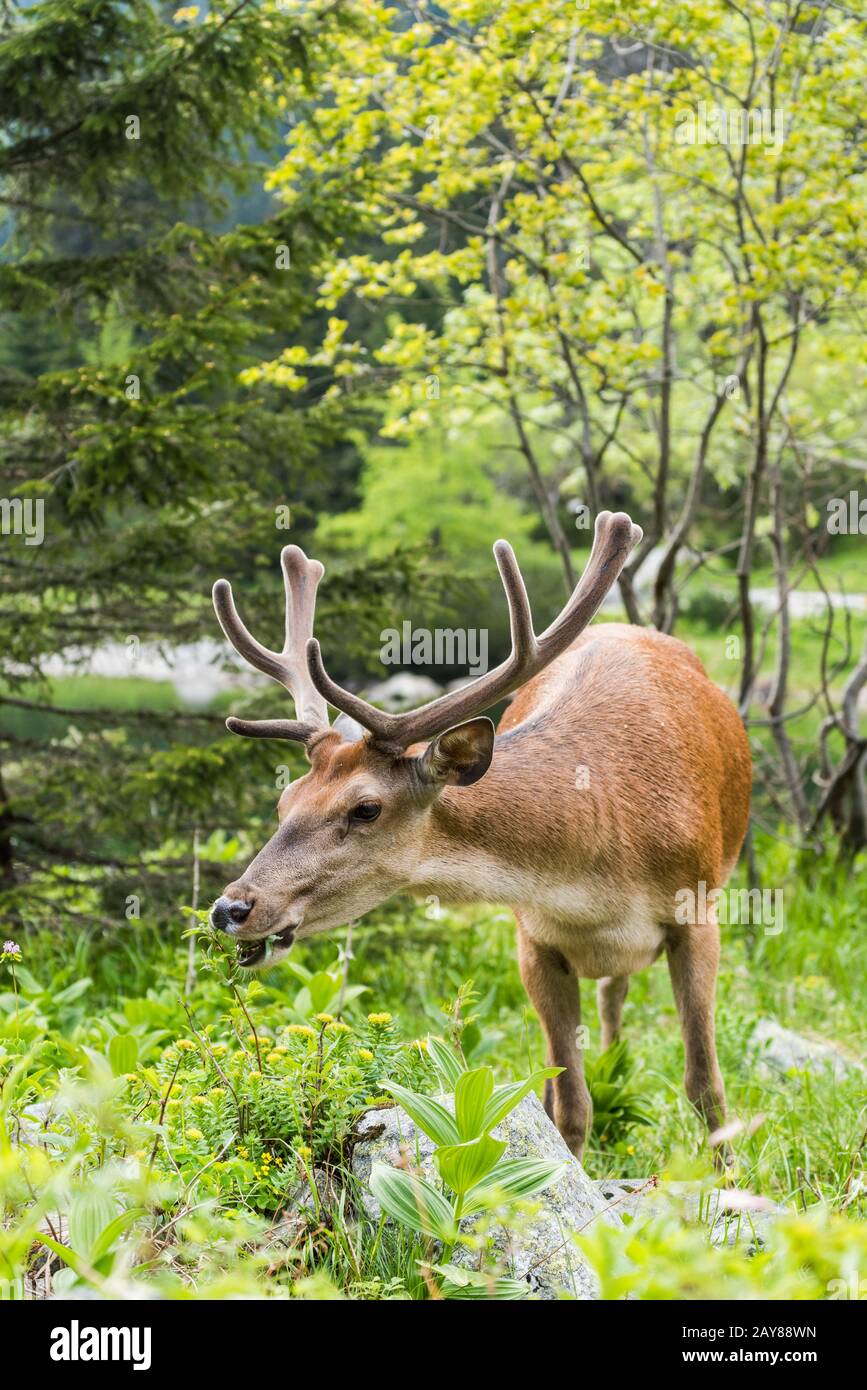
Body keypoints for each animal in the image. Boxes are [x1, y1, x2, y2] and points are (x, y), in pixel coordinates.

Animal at [208, 512, 752, 1159]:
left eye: (365, 808)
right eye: (283, 799)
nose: (231, 907)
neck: (601, 866)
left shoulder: (698, 912)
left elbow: (704, 1085)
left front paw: (726, 1181)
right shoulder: (533, 937)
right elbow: (570, 1103)